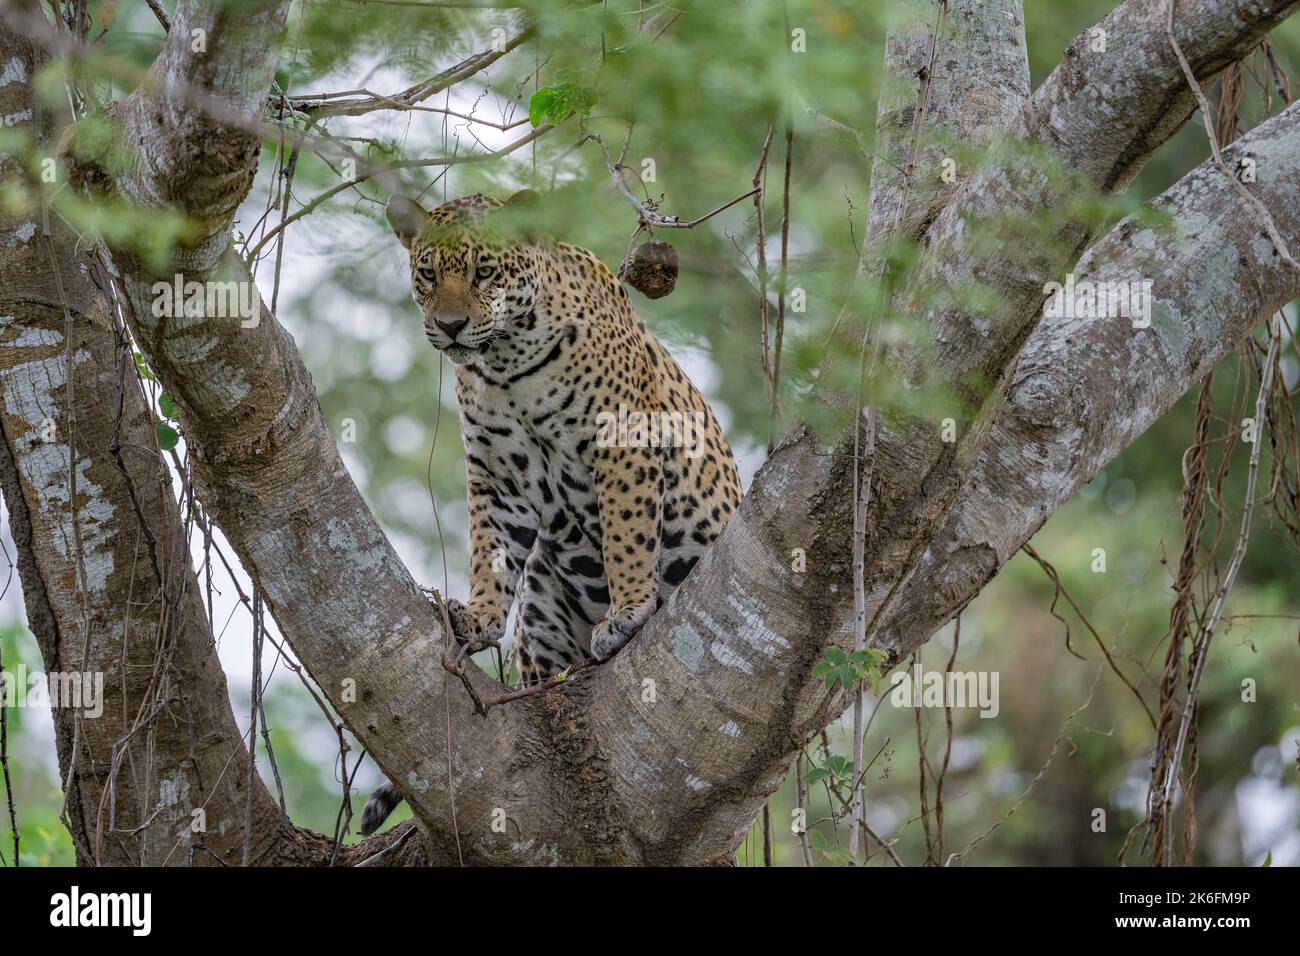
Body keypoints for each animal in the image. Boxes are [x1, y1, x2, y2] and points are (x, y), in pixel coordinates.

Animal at [359, 191, 742, 834]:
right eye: (429, 274)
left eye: (485, 273)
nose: (450, 325)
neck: (506, 363)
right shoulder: (496, 475)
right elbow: (488, 551)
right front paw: (479, 618)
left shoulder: (623, 445)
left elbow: (626, 535)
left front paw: (628, 613)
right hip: (541, 598)